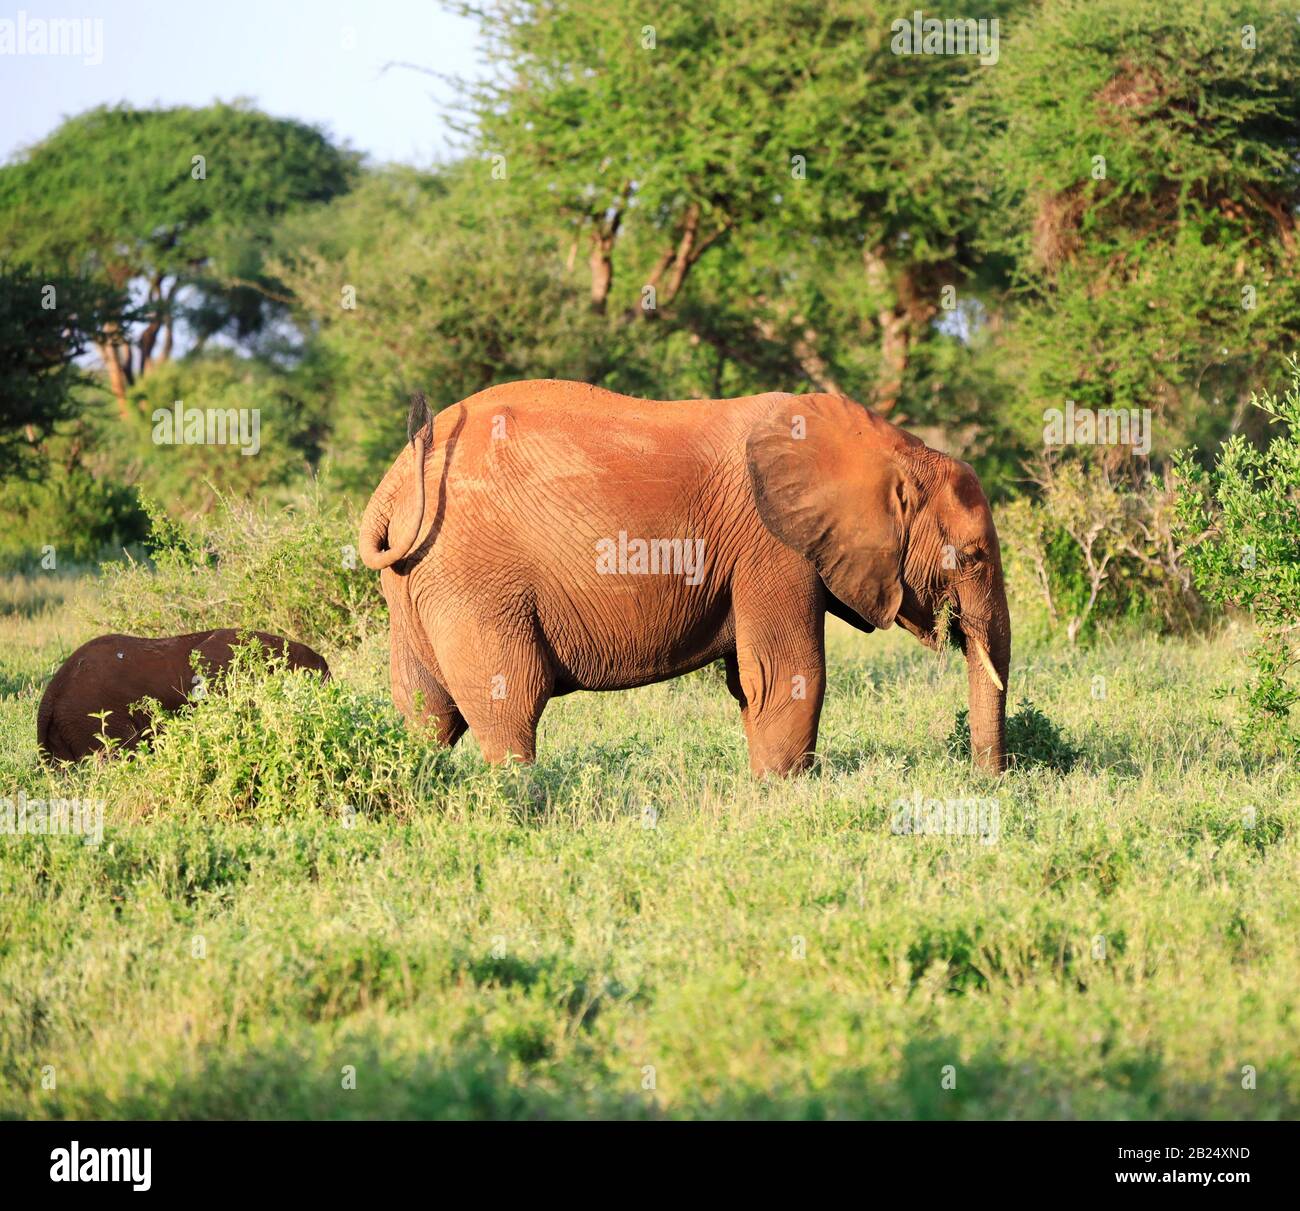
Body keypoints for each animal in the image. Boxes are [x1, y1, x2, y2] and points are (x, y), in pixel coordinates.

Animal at [360, 382, 1009, 775]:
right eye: (972, 557)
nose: (988, 781)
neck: (884, 447)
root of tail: (393, 487)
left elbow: (752, 684)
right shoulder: (771, 548)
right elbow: (786, 674)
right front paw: (781, 794)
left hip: (419, 585)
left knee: (427, 709)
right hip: (476, 581)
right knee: (509, 700)